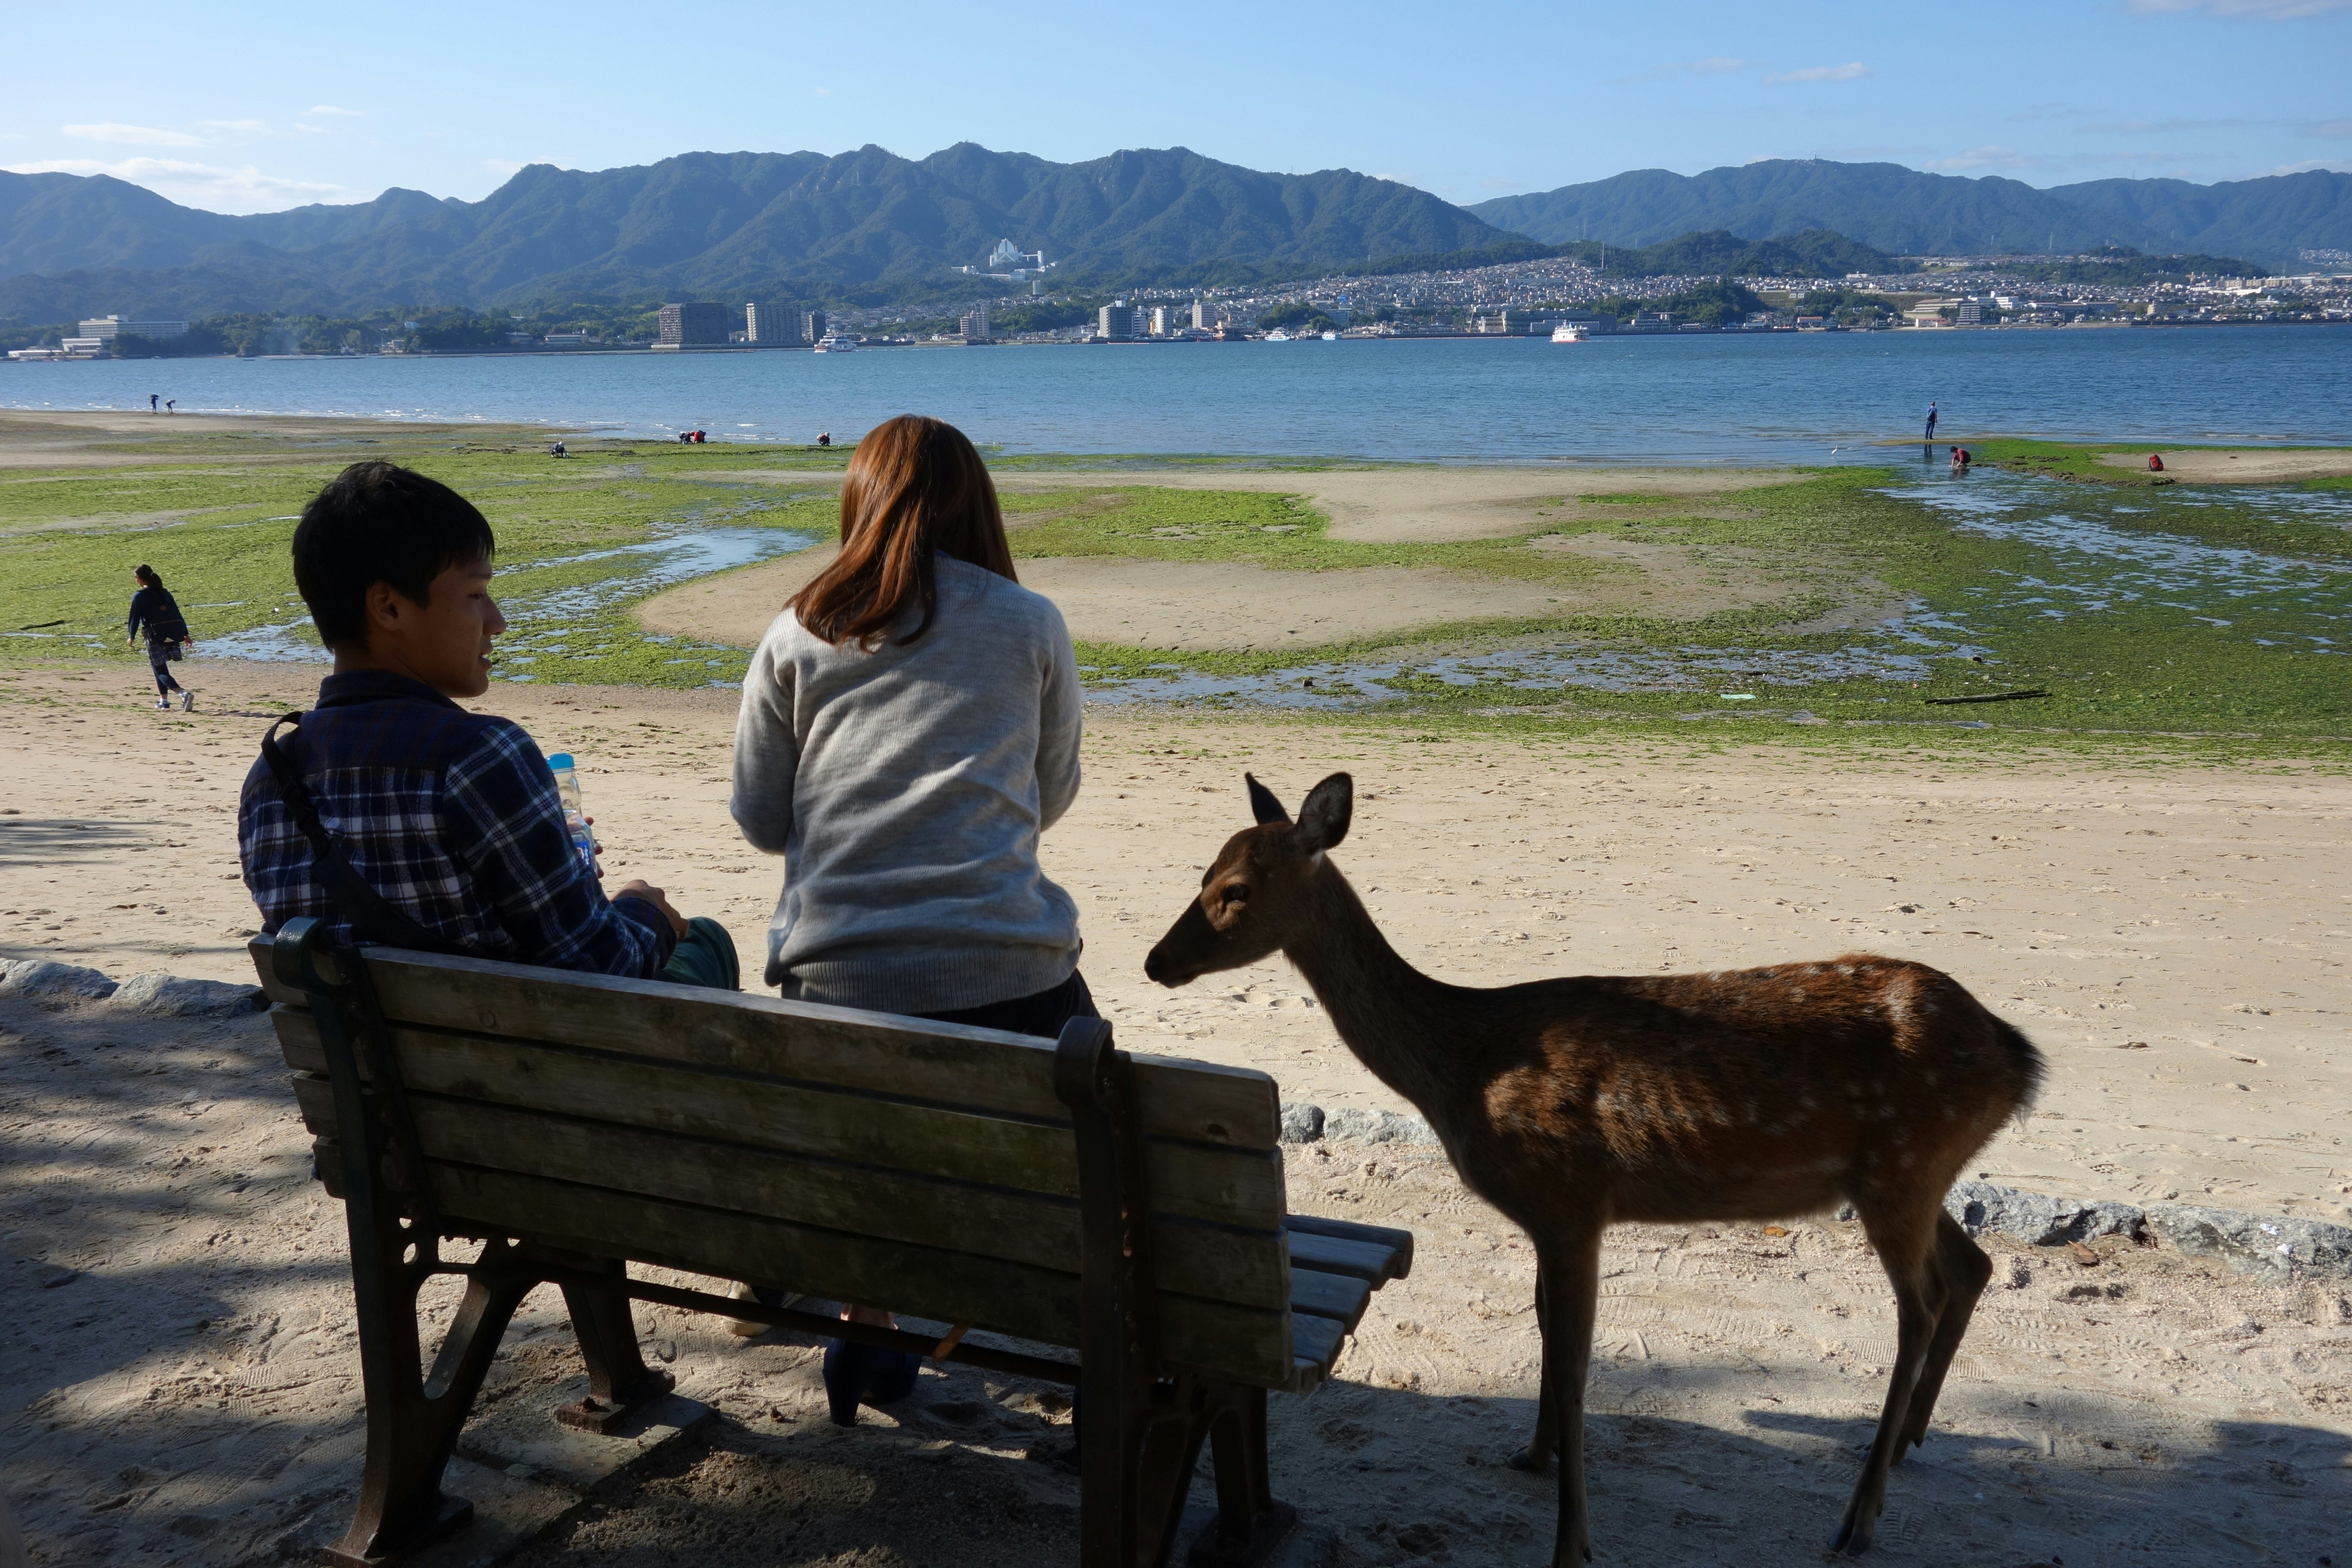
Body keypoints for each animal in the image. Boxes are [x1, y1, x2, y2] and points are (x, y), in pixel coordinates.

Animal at [1143, 773, 2044, 1563]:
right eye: (1201, 872)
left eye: (1236, 889)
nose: (1155, 960)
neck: (1462, 1064)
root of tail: (2016, 1057)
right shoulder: (1548, 1217)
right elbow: (1544, 1330)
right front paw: (1533, 1451)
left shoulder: (1572, 1198)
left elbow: (1578, 1368)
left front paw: (1570, 1541)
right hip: (1910, 1173)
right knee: (1971, 1264)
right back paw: (1905, 1443)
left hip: (1902, 1165)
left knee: (1920, 1304)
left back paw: (1856, 1518)